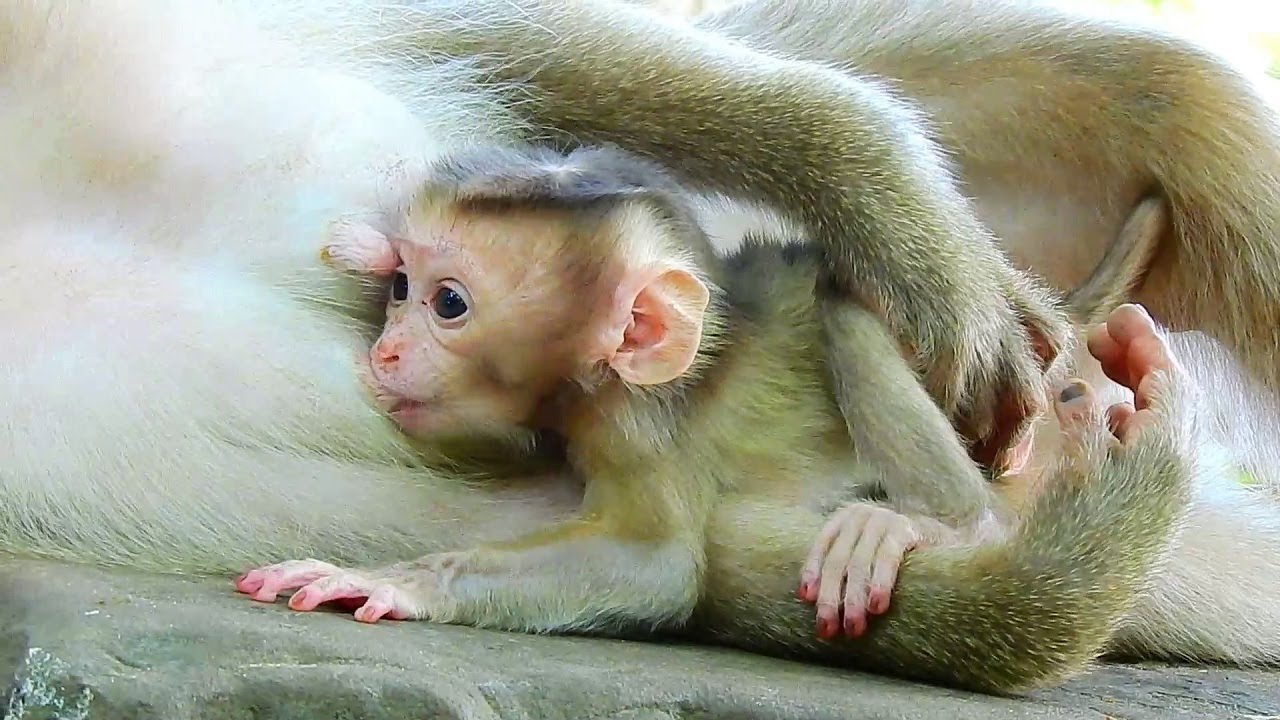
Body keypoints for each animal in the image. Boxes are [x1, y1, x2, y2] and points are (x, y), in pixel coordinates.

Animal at [233, 145, 1194, 694]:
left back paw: (943, 521)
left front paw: (394, 581)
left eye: (450, 304)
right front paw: (362, 245)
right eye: (402, 291)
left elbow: (656, 568)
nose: (388, 350)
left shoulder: (636, 424)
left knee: (847, 310)